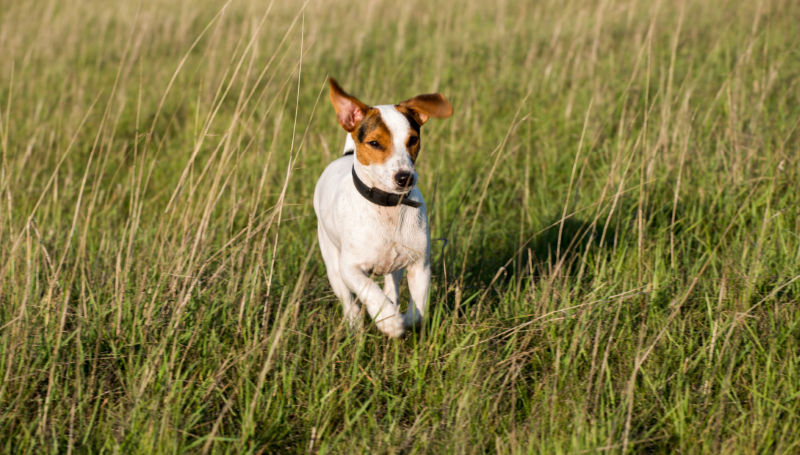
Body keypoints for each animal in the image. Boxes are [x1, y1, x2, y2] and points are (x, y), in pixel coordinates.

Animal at [310, 77, 450, 338]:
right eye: (374, 143)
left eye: (413, 140)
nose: (405, 177)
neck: (387, 206)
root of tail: (346, 154)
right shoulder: (350, 268)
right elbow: (370, 291)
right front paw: (389, 321)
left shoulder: (420, 265)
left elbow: (417, 312)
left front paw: (401, 319)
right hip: (332, 263)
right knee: (350, 304)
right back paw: (357, 326)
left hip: (396, 265)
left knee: (391, 286)